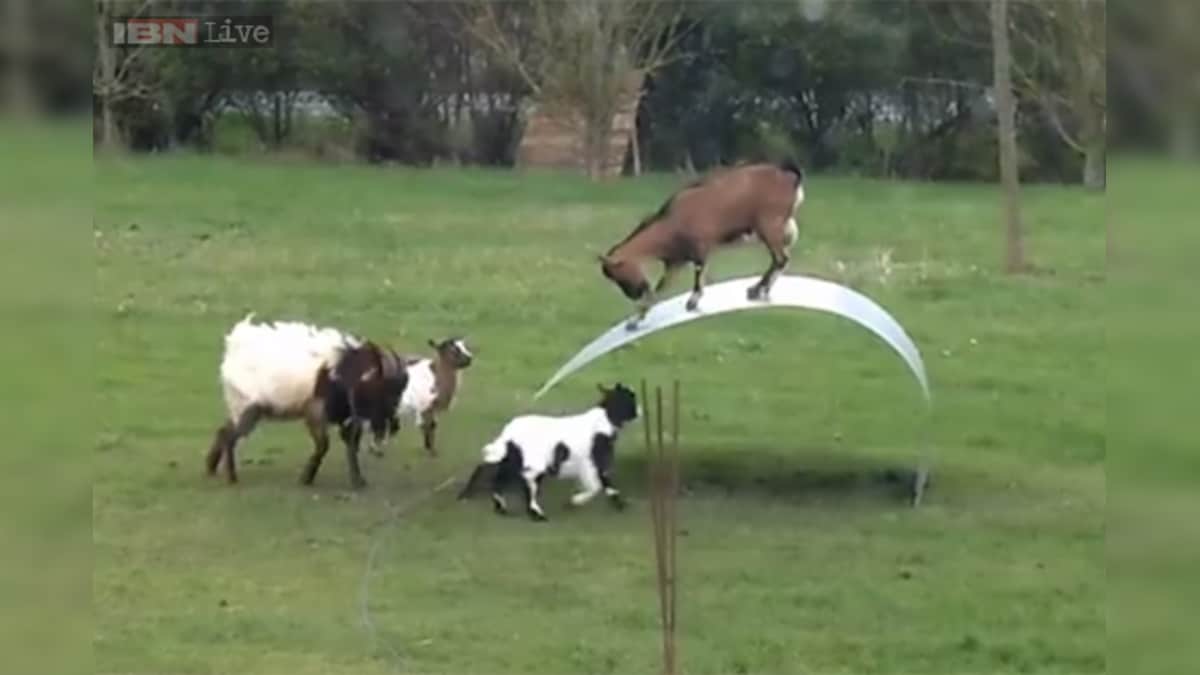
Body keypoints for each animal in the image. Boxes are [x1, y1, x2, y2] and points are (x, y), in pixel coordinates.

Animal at [206, 315, 408, 489]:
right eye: (379, 392)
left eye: (398, 393)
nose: (394, 426)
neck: (344, 370)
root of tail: (233, 345)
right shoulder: (315, 411)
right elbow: (324, 444)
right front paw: (306, 478)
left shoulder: (347, 416)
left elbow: (350, 444)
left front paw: (358, 481)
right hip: (248, 406)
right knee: (229, 434)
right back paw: (231, 477)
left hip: (244, 407)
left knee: (224, 429)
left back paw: (211, 467)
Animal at [458, 383, 639, 522]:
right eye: (631, 397)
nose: (639, 411)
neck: (604, 419)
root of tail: (508, 434)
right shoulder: (592, 462)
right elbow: (599, 485)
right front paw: (575, 502)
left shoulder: (593, 464)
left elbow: (605, 483)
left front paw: (618, 503)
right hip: (533, 464)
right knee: (525, 483)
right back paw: (537, 514)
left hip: (513, 459)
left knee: (496, 477)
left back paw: (500, 507)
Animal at [599, 160, 806, 329]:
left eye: (618, 273)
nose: (634, 294)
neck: (670, 224)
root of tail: (790, 177)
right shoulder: (675, 262)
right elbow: (659, 291)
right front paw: (635, 320)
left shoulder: (700, 248)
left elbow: (698, 276)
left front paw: (692, 301)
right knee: (780, 259)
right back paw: (758, 289)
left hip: (769, 225)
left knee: (781, 259)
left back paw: (757, 290)